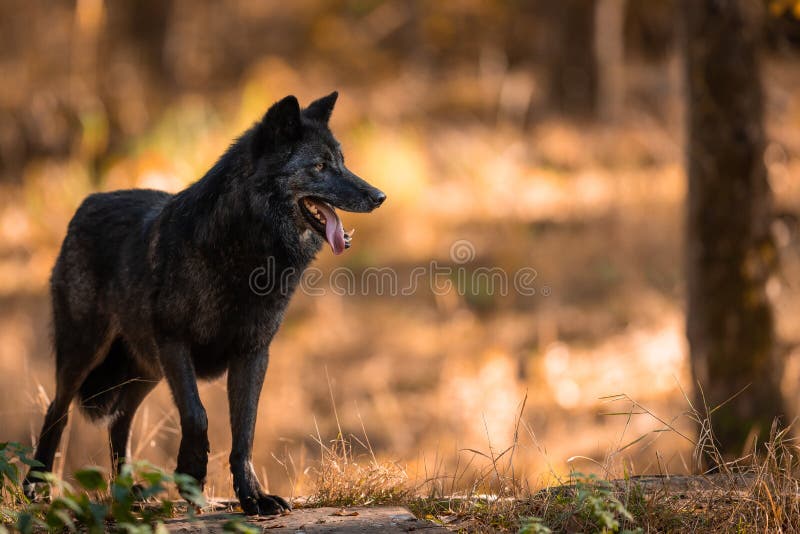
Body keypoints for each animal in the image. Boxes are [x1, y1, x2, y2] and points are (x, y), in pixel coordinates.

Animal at [23, 92, 386, 515]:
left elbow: (244, 431)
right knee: (57, 409)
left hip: (147, 369)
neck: (247, 254)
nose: (379, 196)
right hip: (88, 353)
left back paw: (127, 494)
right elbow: (197, 416)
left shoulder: (253, 354)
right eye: (320, 166)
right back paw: (36, 486)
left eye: (342, 161)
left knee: (119, 420)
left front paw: (253, 497)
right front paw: (192, 476)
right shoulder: (174, 343)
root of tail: (88, 202)